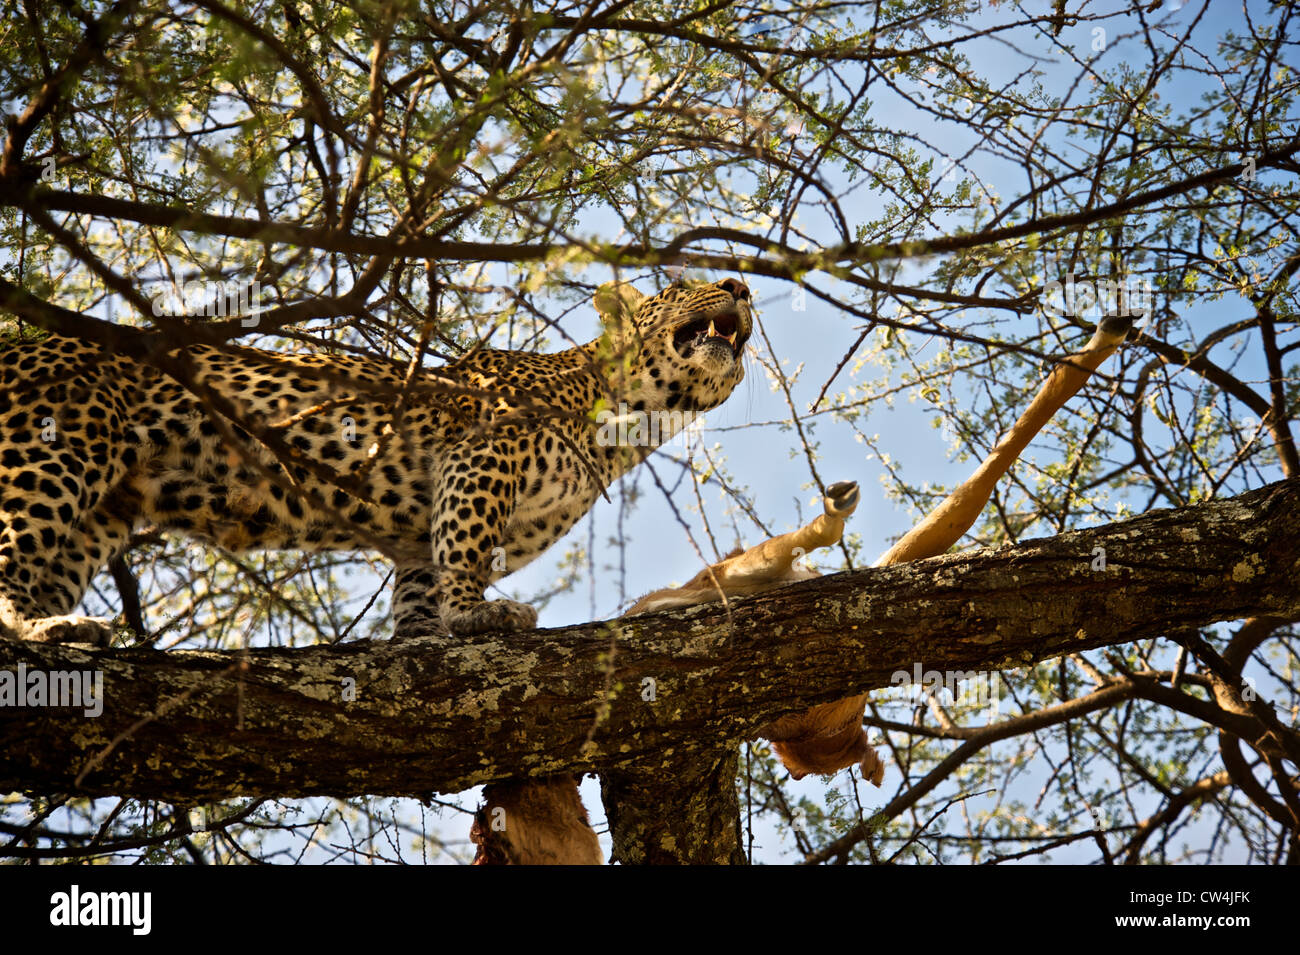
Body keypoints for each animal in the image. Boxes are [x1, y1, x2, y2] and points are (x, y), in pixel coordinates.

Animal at [0, 276, 753, 645]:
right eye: (681, 288)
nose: (739, 284)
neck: (636, 420)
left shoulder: (421, 530)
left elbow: (424, 577)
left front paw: (423, 636)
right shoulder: (480, 455)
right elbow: (465, 550)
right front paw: (475, 616)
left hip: (101, 509)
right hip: (52, 450)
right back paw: (47, 627)